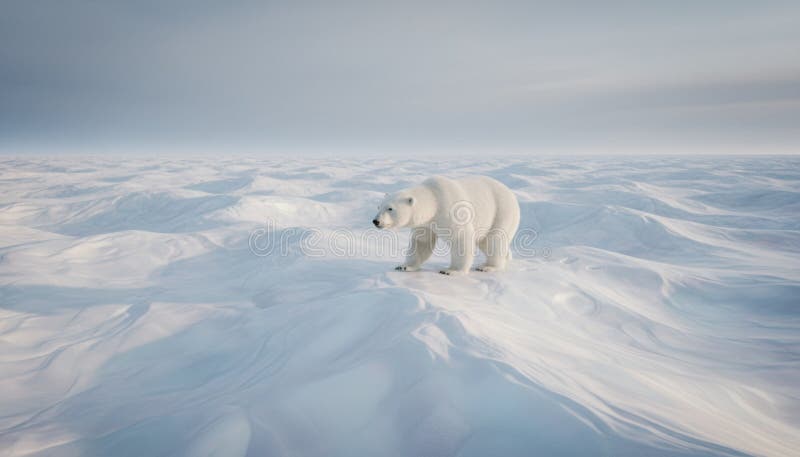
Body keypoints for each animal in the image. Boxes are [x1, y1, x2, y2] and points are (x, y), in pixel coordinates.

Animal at [372, 176, 520, 275]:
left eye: (390, 208)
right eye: (379, 206)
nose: (376, 221)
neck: (434, 199)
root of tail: (512, 195)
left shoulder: (451, 210)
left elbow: (461, 238)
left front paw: (451, 271)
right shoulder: (426, 223)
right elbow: (422, 242)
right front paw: (404, 266)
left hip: (501, 212)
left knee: (494, 240)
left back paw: (488, 267)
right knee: (485, 242)